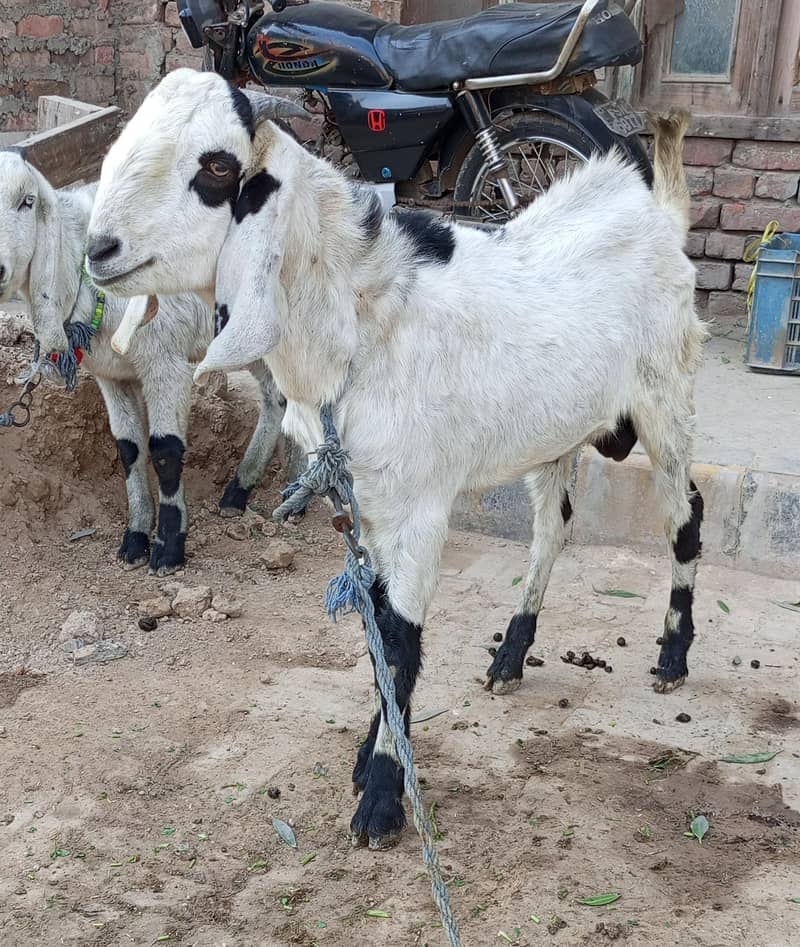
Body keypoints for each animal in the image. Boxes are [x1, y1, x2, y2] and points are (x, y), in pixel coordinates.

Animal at [0, 149, 284, 575]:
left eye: (27, 201)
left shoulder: (165, 362)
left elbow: (165, 451)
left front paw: (169, 547)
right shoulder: (112, 377)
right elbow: (129, 449)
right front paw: (135, 536)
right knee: (275, 397)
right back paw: (239, 491)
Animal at [85, 69, 705, 849]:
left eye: (218, 167)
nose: (99, 248)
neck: (357, 316)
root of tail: (660, 214)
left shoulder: (418, 509)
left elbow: (401, 641)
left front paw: (381, 797)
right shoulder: (367, 504)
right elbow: (377, 636)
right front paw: (372, 757)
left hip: (666, 399)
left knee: (685, 519)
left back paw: (672, 655)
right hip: (556, 434)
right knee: (551, 530)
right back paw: (510, 654)